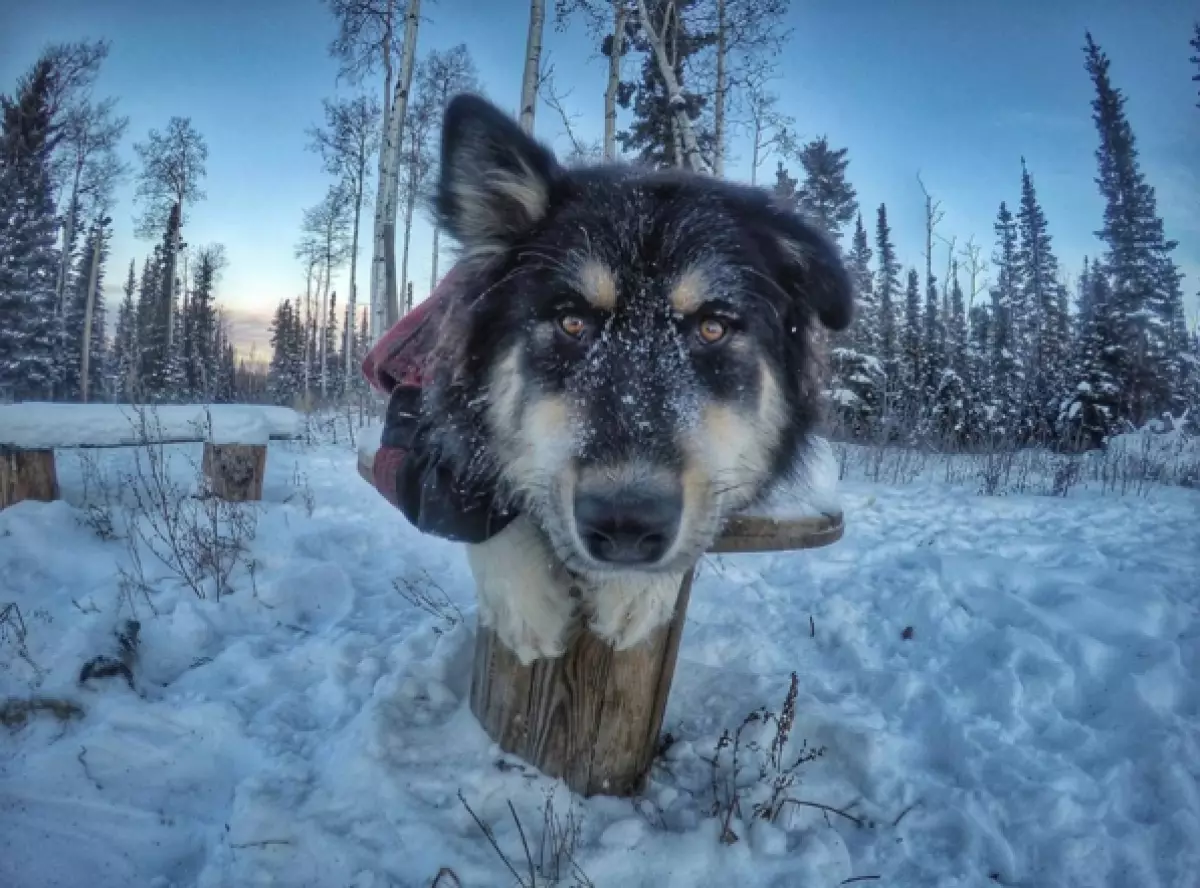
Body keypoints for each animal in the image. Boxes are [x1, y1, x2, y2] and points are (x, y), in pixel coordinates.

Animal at [420, 95, 854, 667]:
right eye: (572, 322)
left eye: (712, 327)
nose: (626, 523)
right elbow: (471, 482)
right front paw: (524, 602)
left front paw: (635, 590)